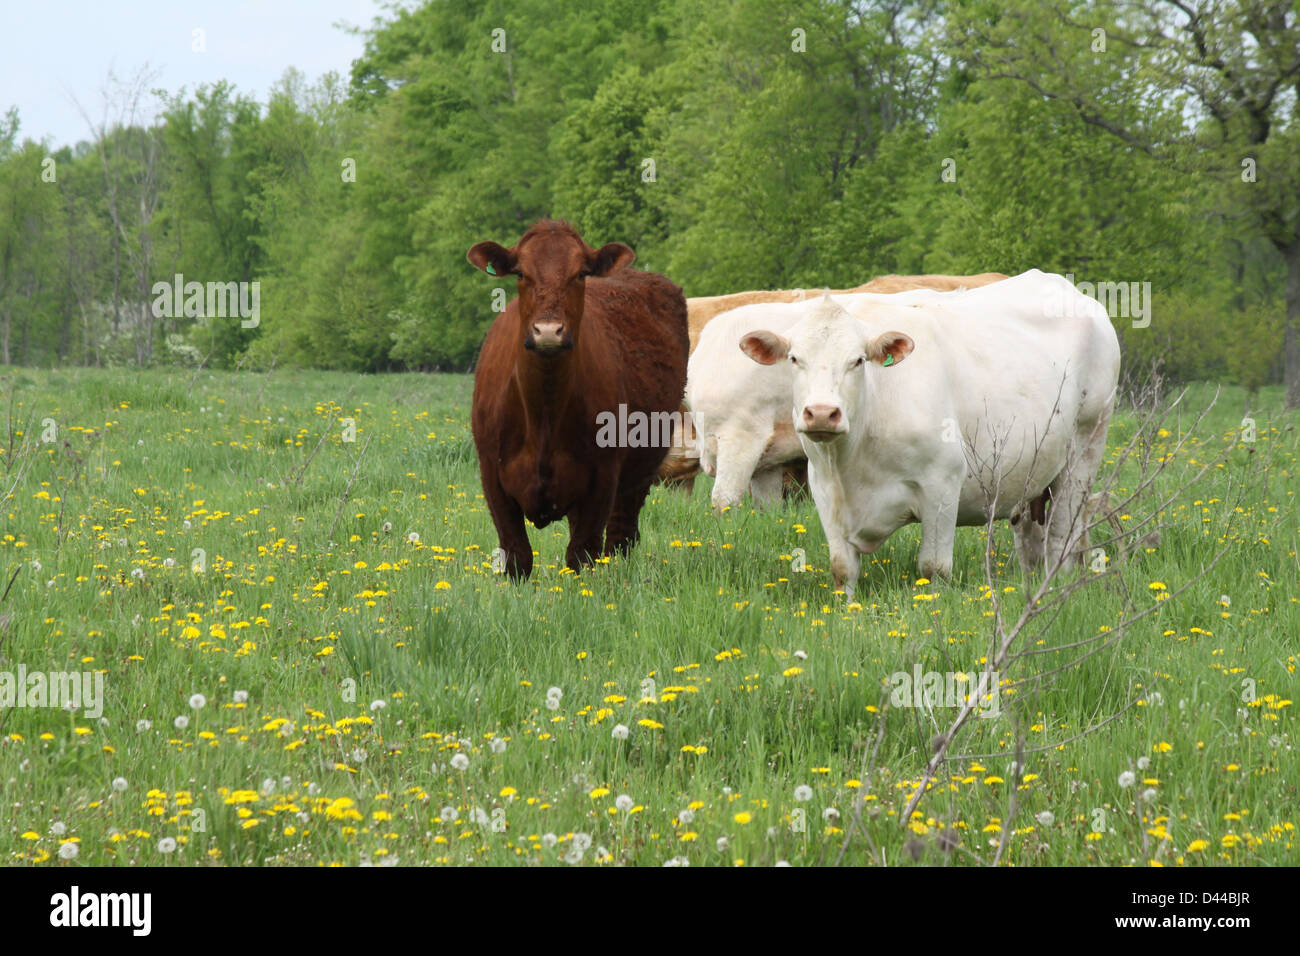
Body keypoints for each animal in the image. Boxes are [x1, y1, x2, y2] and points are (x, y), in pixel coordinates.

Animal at [467, 220, 688, 580]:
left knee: (620, 538)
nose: (547, 331)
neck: (544, 413)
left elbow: (582, 555)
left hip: (640, 472)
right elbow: (518, 557)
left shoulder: (603, 477)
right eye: (521, 273)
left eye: (580, 273)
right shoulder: (492, 476)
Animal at [737, 270, 1121, 598]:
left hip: (1085, 446)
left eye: (858, 360)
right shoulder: (824, 488)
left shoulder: (942, 482)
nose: (821, 413)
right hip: (1031, 475)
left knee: (1062, 535)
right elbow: (842, 568)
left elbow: (933, 567)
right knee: (1031, 539)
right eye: (794, 359)